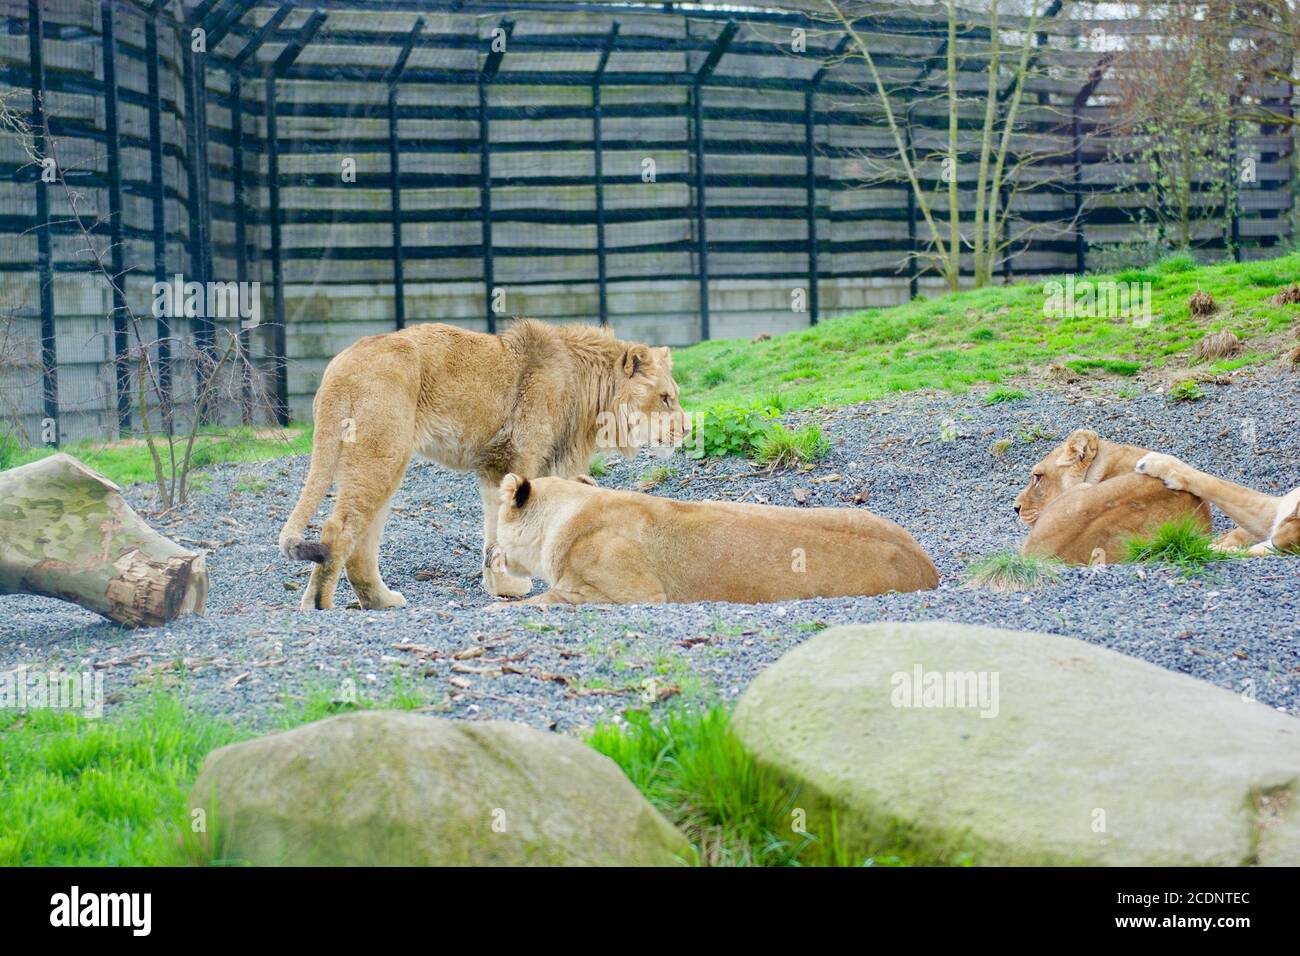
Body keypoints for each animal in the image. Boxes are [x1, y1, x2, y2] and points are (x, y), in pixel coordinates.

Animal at [278, 320, 689, 610]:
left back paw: (377, 601)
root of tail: (338, 368)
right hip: (381, 453)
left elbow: (495, 531)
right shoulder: (518, 457)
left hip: (384, 462)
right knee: (338, 528)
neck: (589, 390)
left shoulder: (495, 466)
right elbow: (504, 531)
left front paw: (499, 585)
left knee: (361, 543)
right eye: (665, 398)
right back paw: (321, 606)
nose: (687, 429)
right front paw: (510, 585)